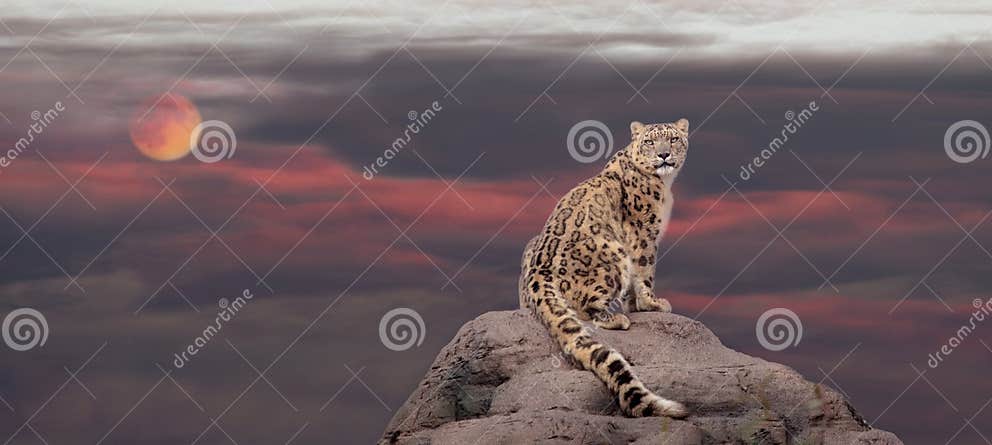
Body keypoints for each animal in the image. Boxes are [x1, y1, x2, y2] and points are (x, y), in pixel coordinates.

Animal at [518, 118, 690, 418]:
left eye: (674, 139)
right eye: (650, 141)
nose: (664, 155)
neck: (664, 185)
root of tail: (539, 271)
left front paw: (636, 303)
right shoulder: (643, 233)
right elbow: (645, 270)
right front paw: (652, 303)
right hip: (613, 254)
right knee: (587, 309)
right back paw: (617, 318)